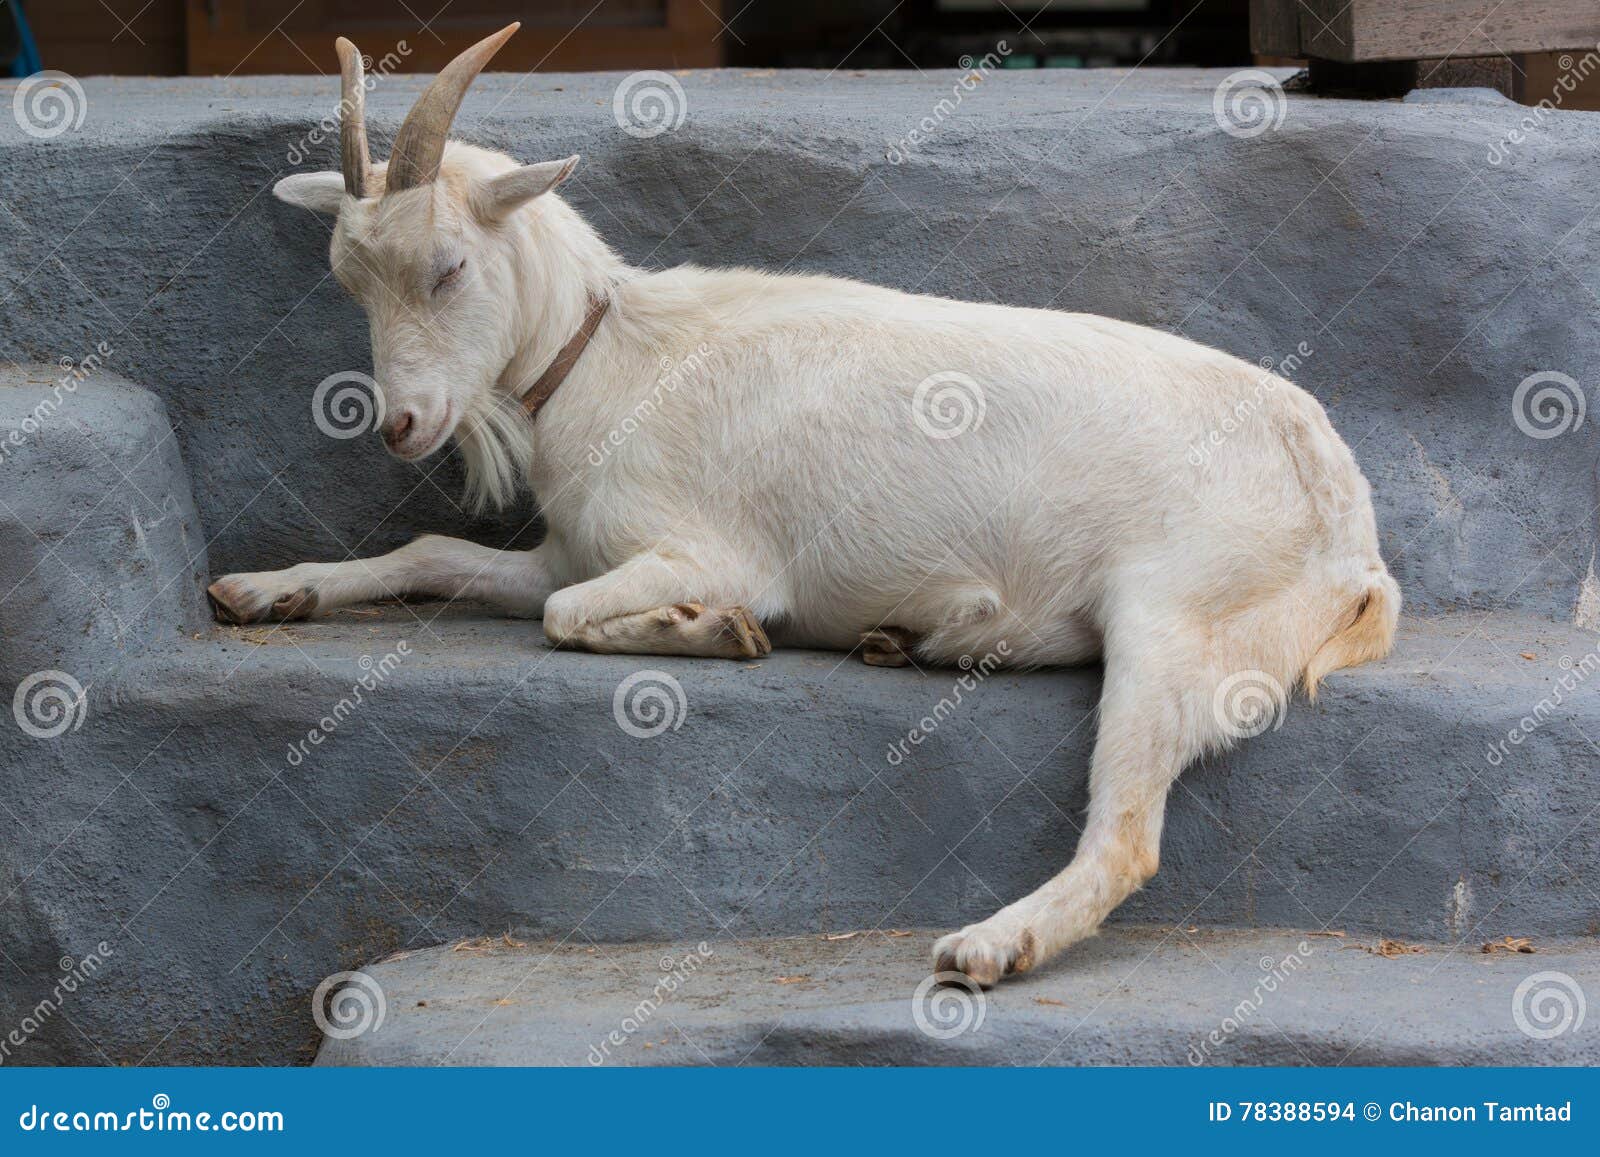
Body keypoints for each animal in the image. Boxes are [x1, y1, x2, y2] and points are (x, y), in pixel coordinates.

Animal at [210, 24, 1401, 987]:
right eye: (351, 279)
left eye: (450, 267)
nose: (401, 424)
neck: (615, 361)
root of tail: (1350, 524)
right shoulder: (564, 549)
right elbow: (433, 552)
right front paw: (265, 590)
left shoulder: (706, 550)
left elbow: (569, 616)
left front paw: (710, 630)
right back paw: (912, 642)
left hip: (1177, 616)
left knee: (1127, 834)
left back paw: (990, 941)